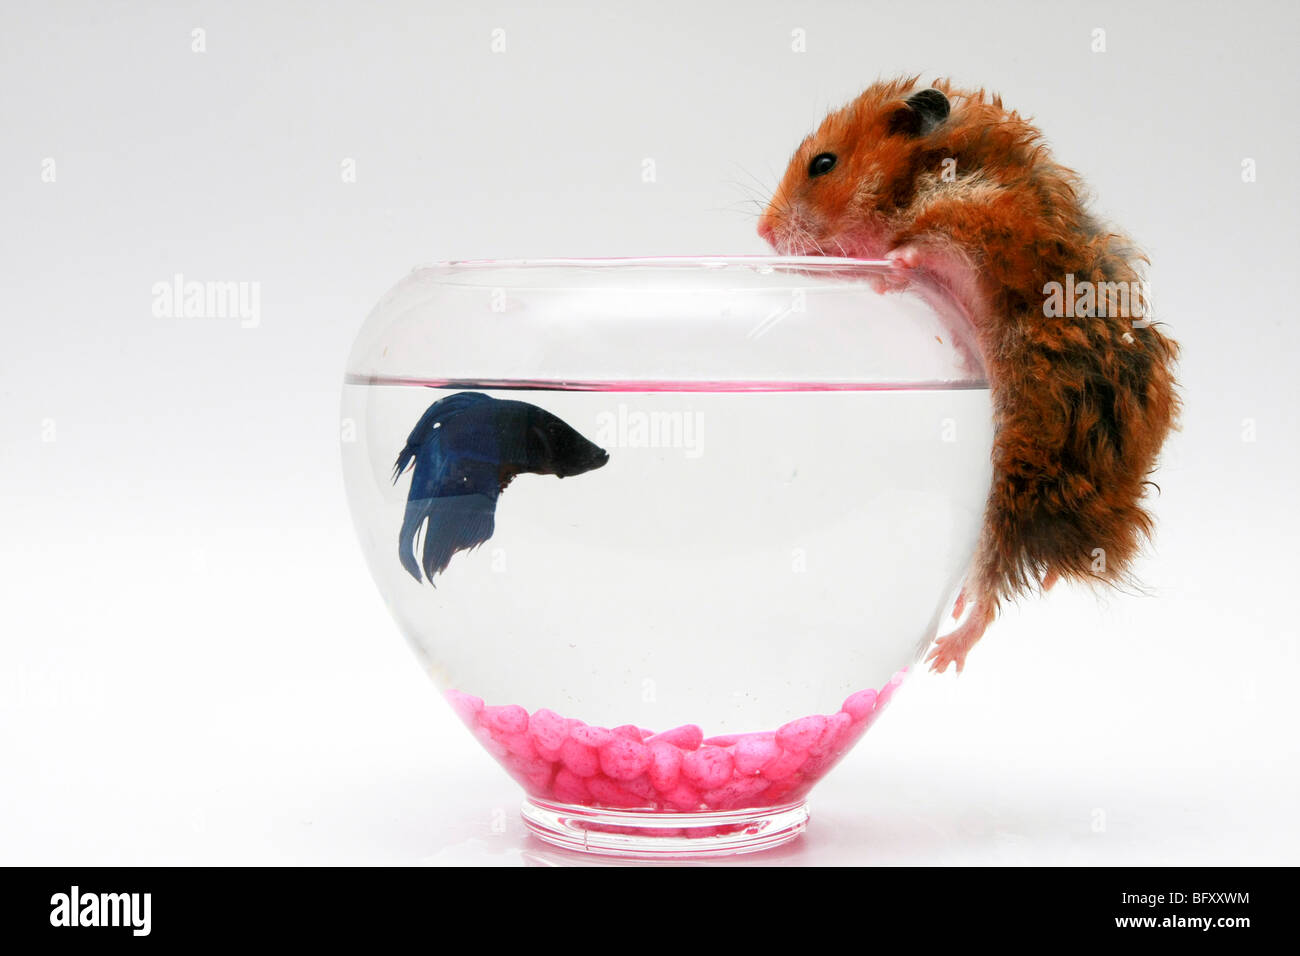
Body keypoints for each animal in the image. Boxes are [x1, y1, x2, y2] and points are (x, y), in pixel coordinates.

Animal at [758, 77, 1180, 673]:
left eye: (823, 163)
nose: (762, 231)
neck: (920, 179)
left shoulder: (991, 219)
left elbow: (933, 241)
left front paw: (897, 262)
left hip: (1018, 469)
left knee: (992, 581)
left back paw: (945, 652)